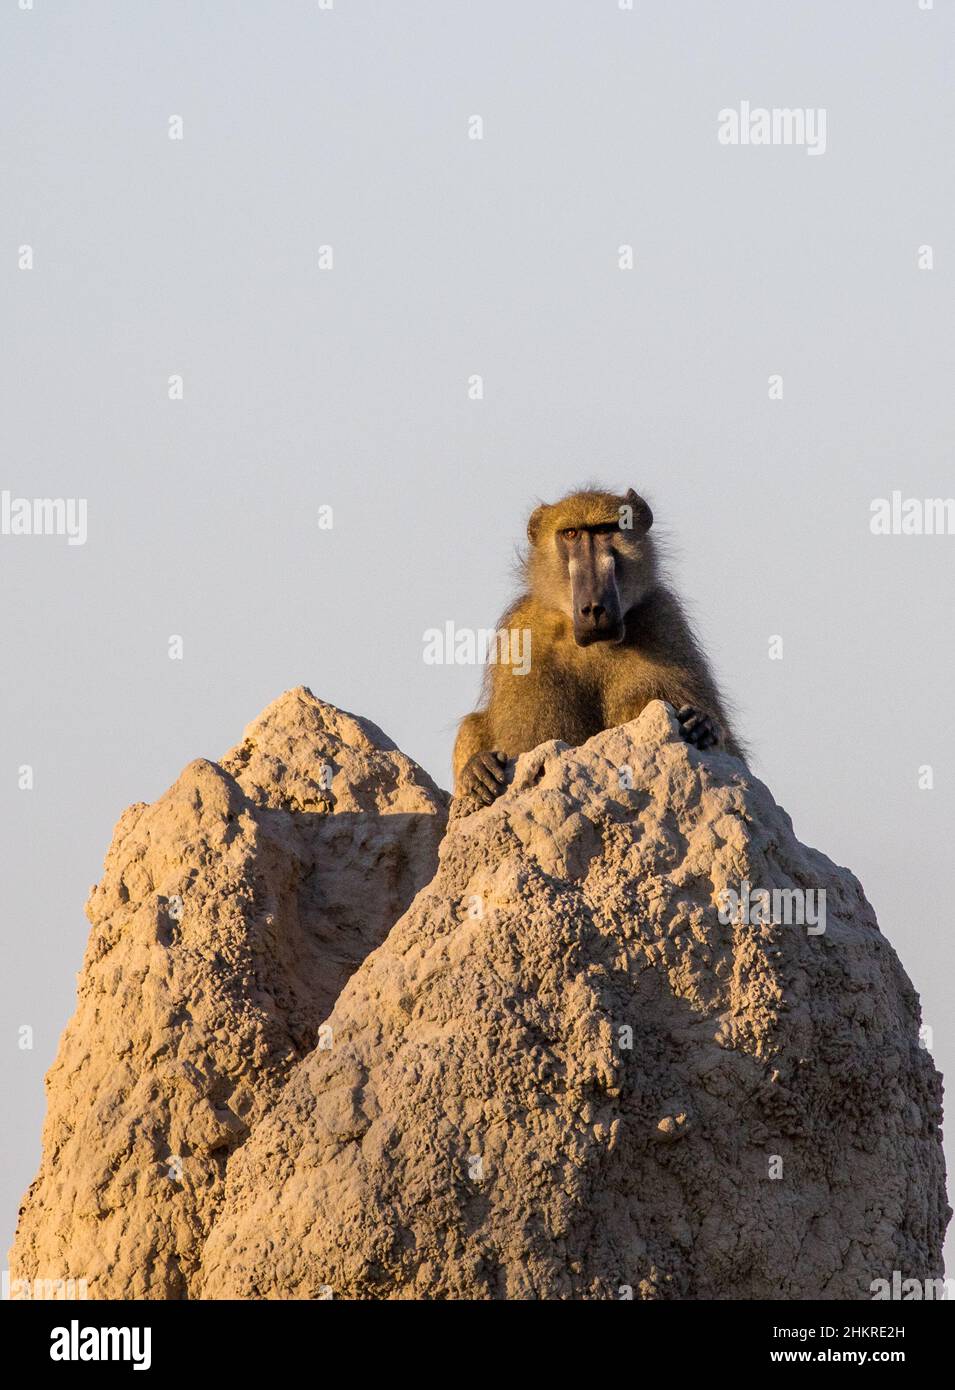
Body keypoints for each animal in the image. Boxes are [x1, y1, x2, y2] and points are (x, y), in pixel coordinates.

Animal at [453, 486, 745, 809]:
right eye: (570, 534)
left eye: (606, 531)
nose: (594, 608)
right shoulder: (522, 639)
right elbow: (526, 752)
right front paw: (481, 768)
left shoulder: (664, 621)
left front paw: (703, 724)